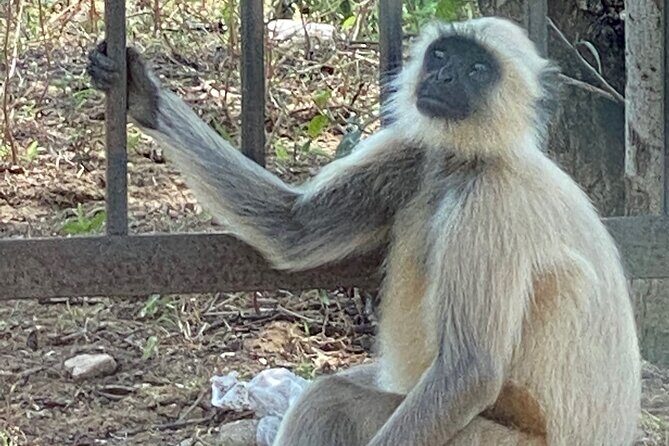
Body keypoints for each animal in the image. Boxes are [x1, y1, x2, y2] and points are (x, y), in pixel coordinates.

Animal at [87, 16, 641, 446]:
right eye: (442, 55)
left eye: (478, 69)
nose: (442, 76)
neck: (467, 161)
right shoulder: (410, 152)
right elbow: (293, 227)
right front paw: (143, 95)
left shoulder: (490, 205)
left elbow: (469, 373)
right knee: (328, 394)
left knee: (339, 400)